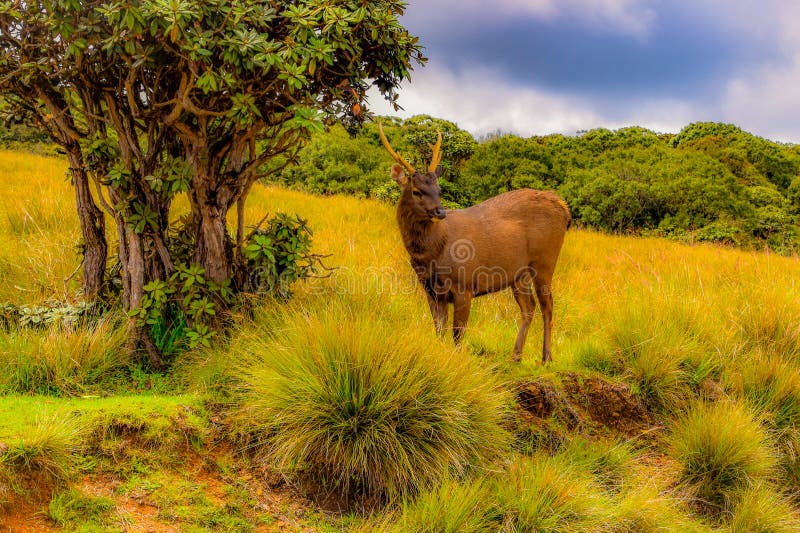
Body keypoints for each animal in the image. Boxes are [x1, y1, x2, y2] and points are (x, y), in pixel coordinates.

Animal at [378, 123, 571, 363]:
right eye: (416, 191)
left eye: (439, 190)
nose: (440, 212)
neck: (434, 253)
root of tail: (564, 209)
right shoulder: (430, 289)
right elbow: (438, 329)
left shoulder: (464, 283)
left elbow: (457, 333)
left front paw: (457, 361)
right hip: (519, 273)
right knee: (529, 307)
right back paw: (516, 355)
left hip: (545, 261)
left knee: (548, 306)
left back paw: (546, 358)